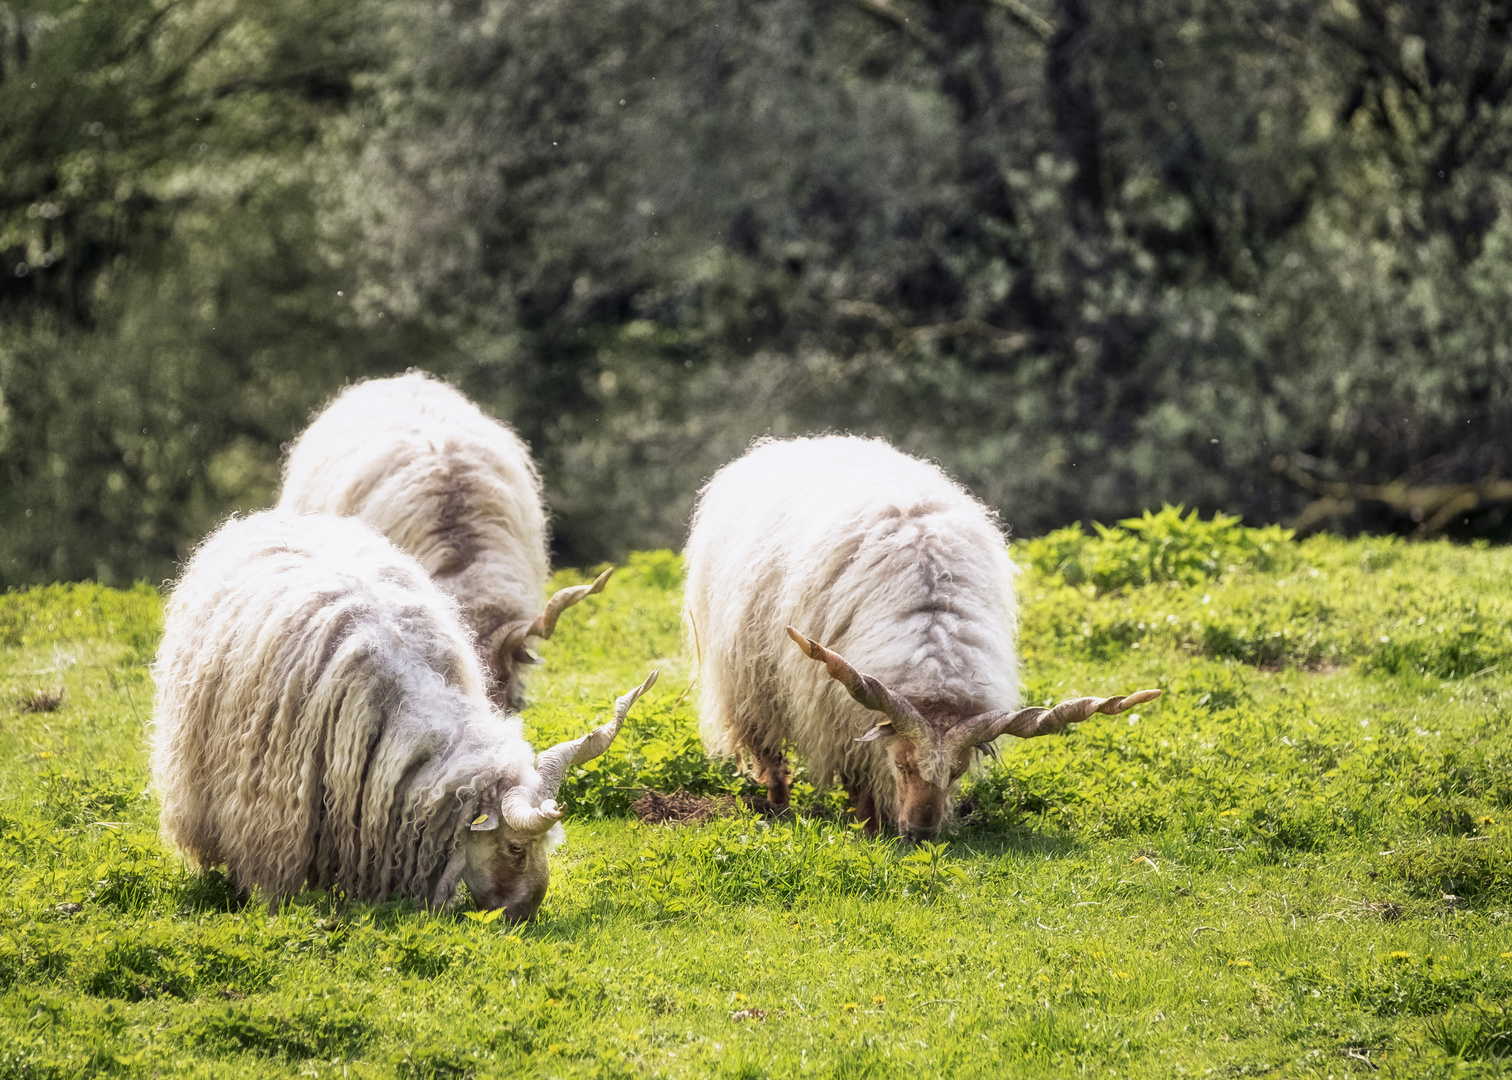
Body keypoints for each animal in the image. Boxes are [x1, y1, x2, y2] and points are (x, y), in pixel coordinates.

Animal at [686, 432, 1155, 834]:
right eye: (903, 766)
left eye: (958, 772)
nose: (920, 834)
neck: (933, 636)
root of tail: (798, 442)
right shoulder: (835, 708)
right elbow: (857, 772)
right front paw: (870, 827)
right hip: (747, 680)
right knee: (767, 747)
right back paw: (779, 808)